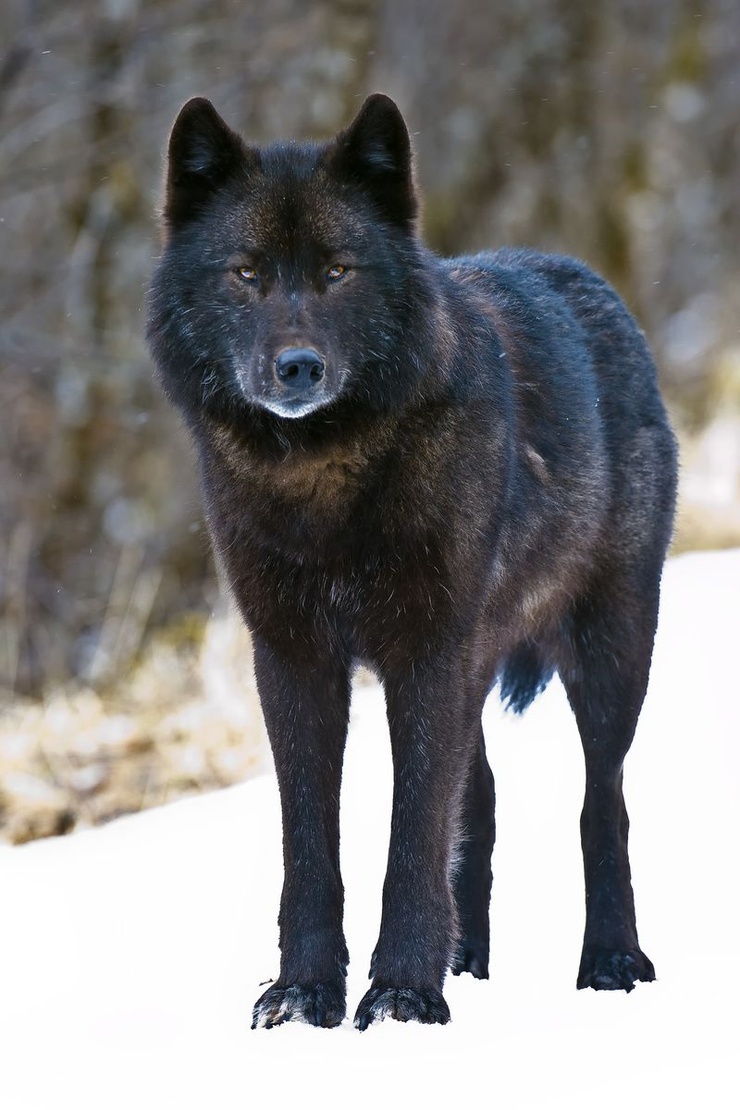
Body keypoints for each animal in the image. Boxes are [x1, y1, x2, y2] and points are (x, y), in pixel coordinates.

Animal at [147, 93, 677, 1029]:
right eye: (245, 274)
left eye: (337, 272)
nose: (297, 367)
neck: (322, 489)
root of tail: (591, 282)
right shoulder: (294, 661)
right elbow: (311, 848)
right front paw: (304, 993)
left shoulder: (428, 653)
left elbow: (412, 837)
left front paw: (400, 993)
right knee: (485, 803)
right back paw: (468, 959)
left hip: (610, 657)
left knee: (602, 805)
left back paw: (610, 960)